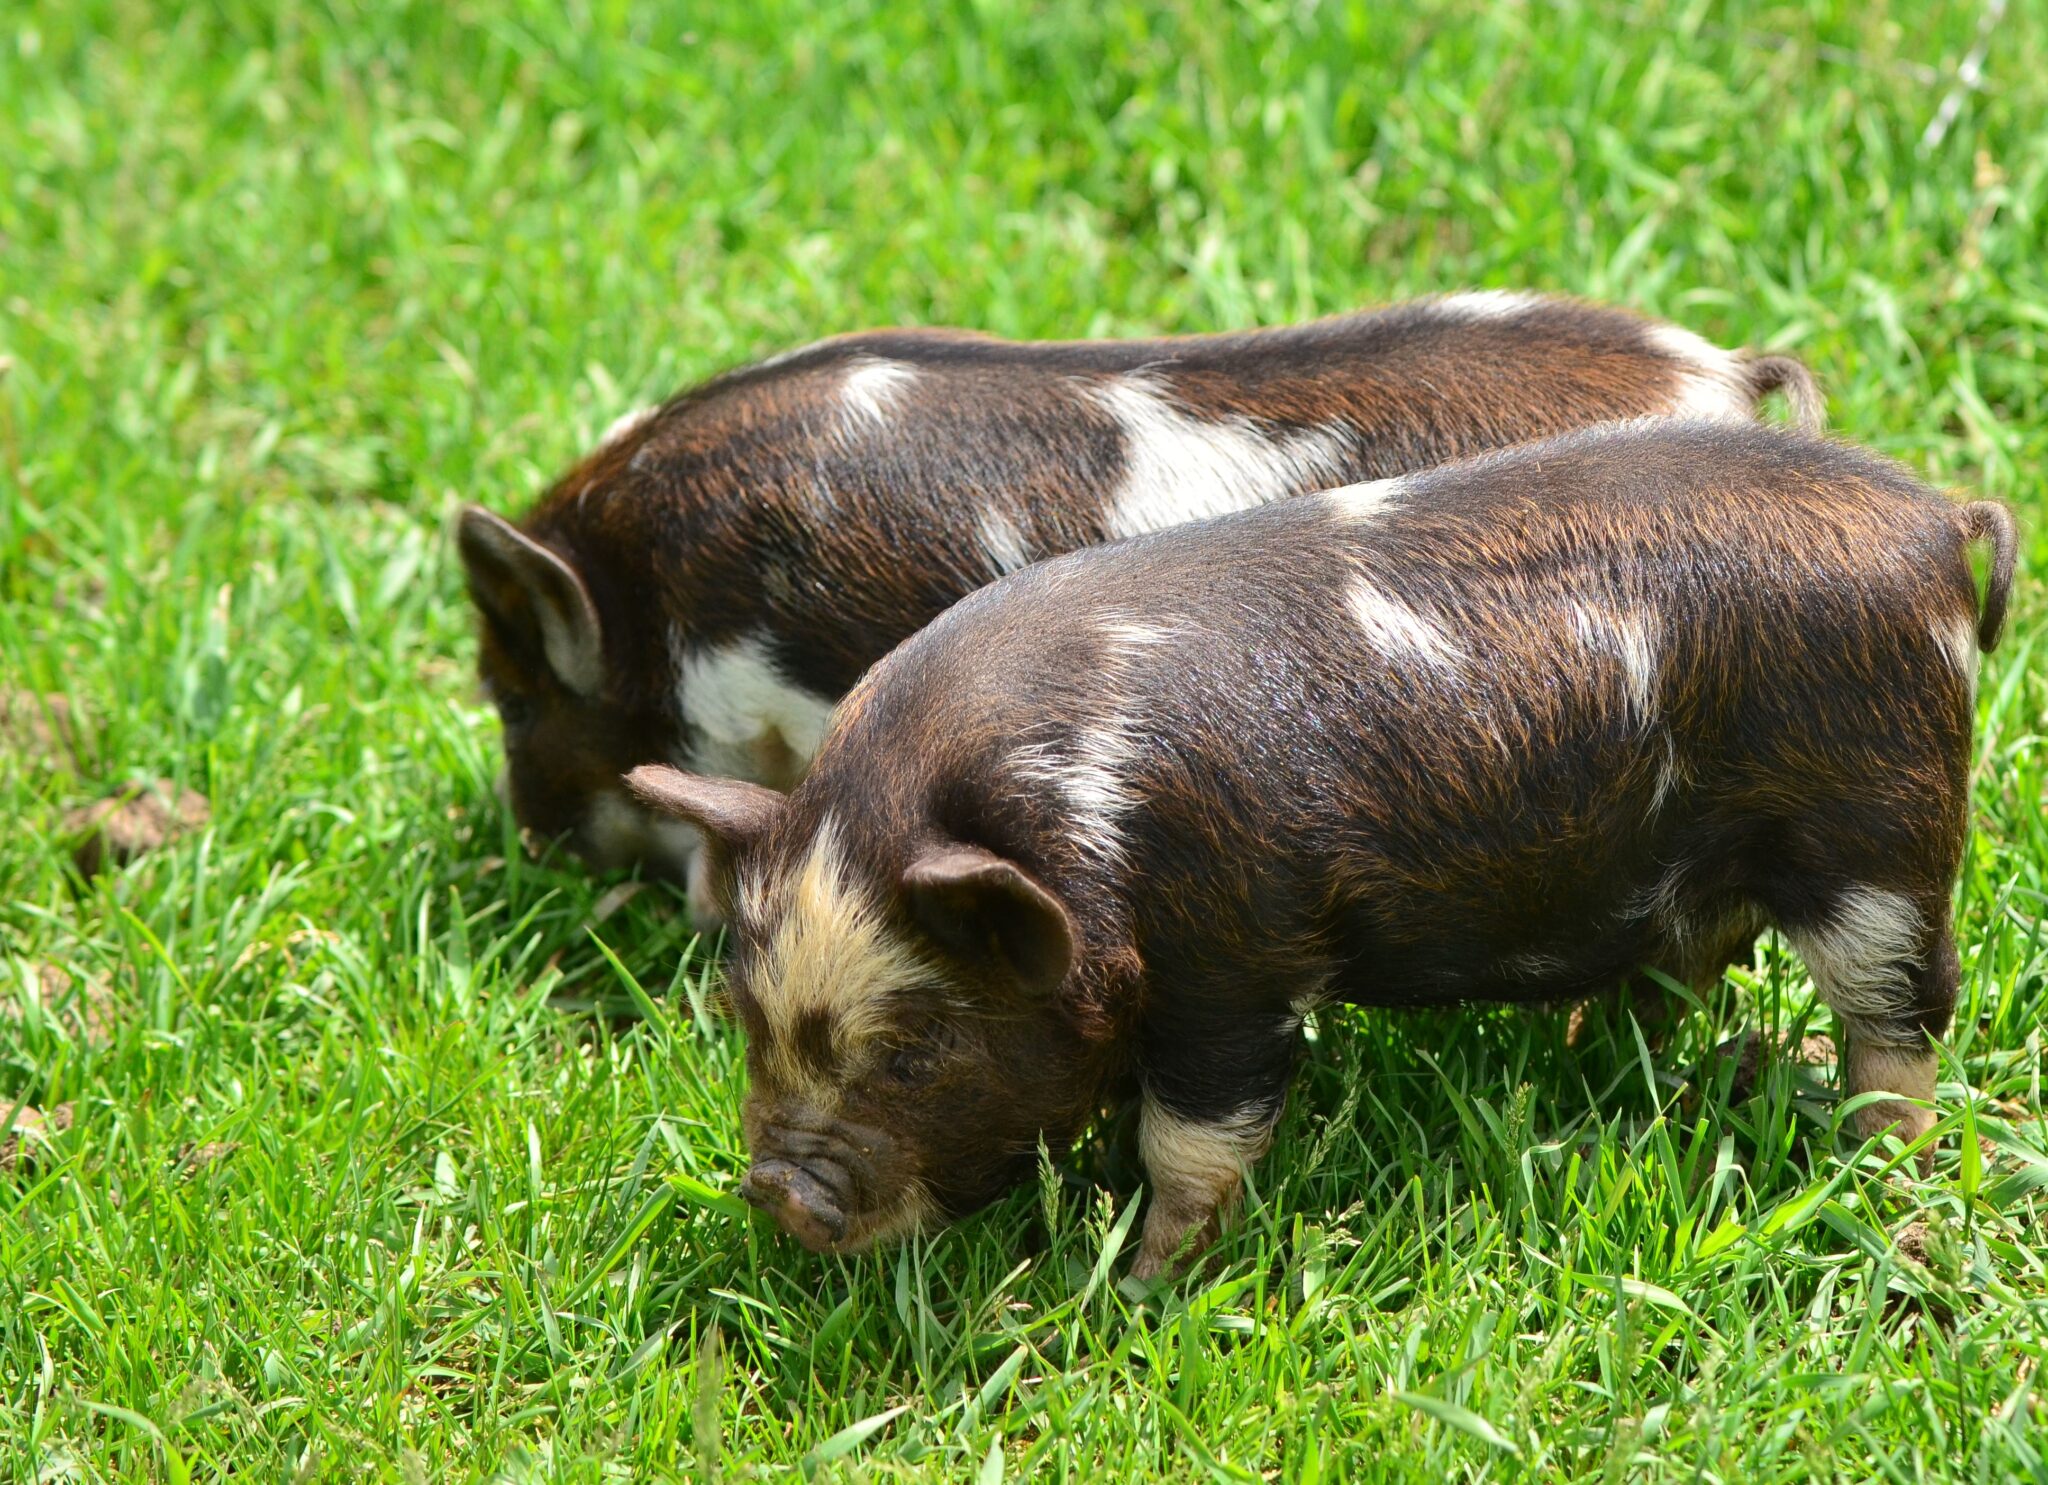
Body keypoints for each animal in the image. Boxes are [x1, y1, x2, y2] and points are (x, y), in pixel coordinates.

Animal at [623, 419, 2015, 1277]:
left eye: (914, 1051)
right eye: (742, 1018)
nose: (775, 1192)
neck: (1077, 809)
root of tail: (1927, 524)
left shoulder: (1233, 949)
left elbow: (1195, 1140)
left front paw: (1138, 1288)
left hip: (1876, 826)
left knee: (1898, 1017)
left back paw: (1885, 1181)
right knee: (1696, 957)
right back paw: (1598, 1053)